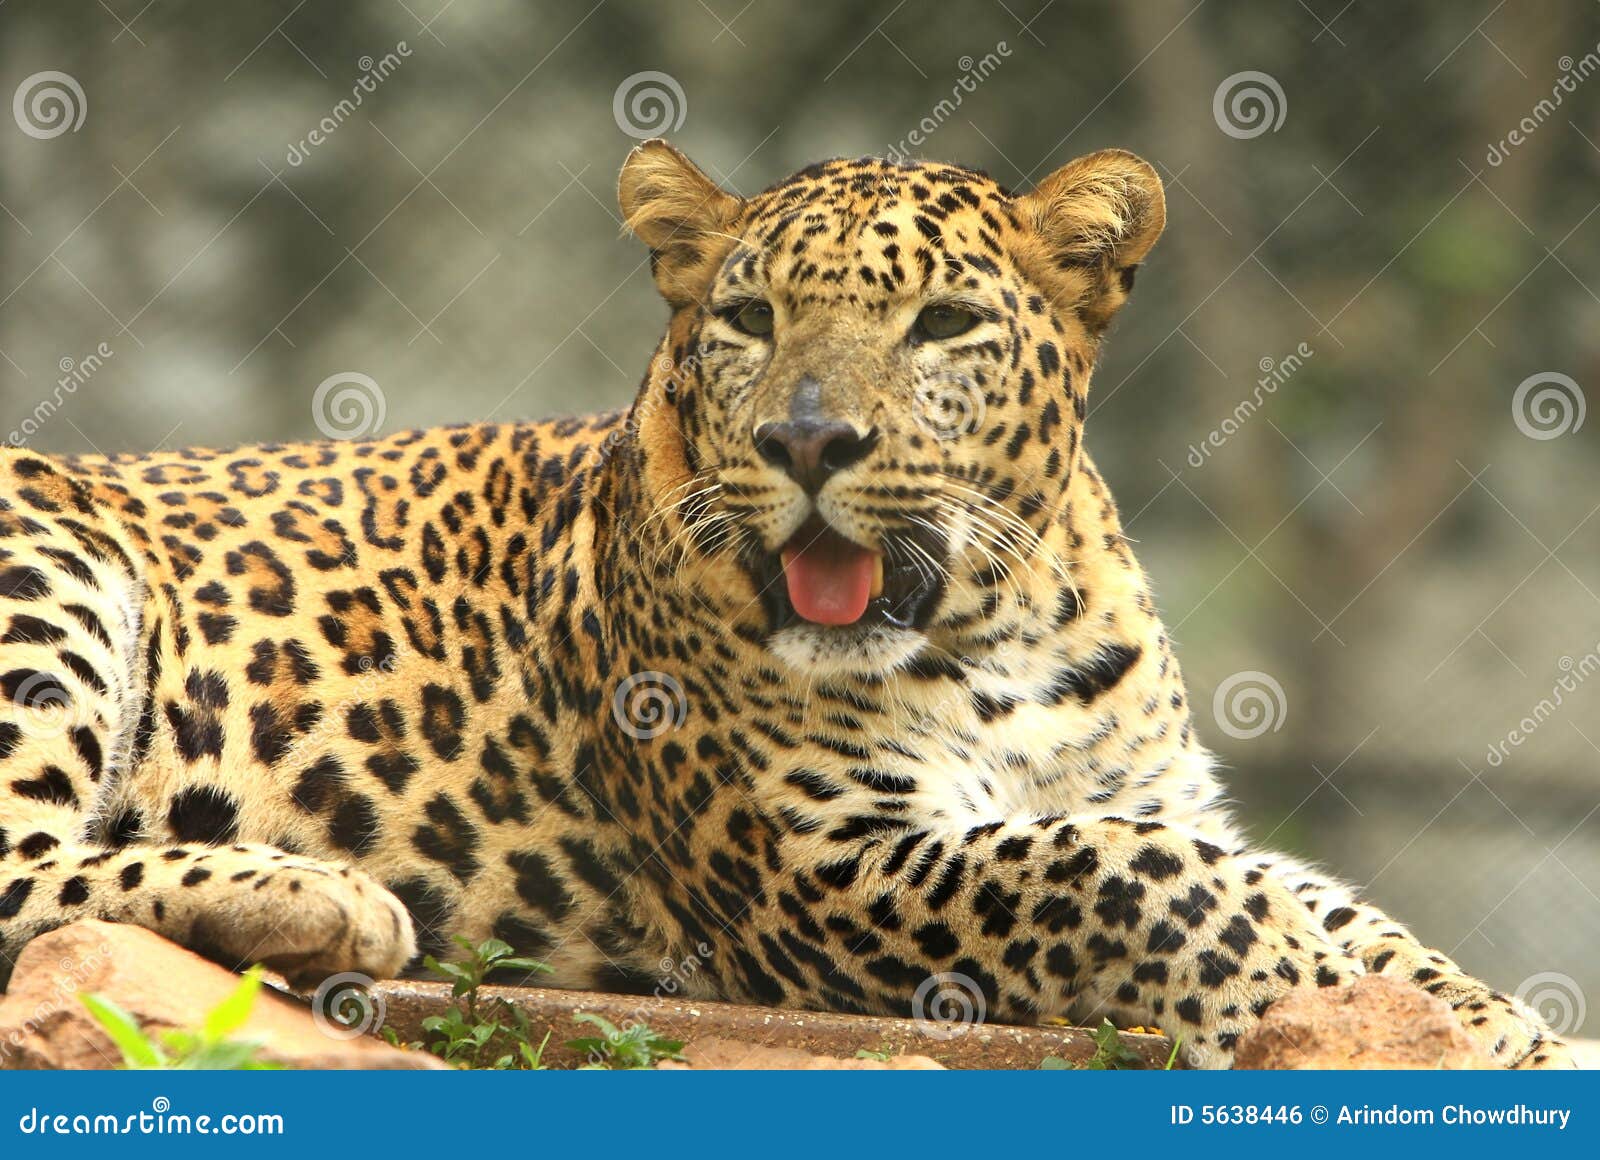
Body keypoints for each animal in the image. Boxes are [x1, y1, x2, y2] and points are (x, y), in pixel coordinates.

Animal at [0, 139, 1572, 1068]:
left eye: (943, 324)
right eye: (749, 321)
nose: (809, 442)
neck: (1001, 620)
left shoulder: (1154, 792)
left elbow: (1335, 902)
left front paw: (1490, 1026)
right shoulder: (818, 867)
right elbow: (1122, 875)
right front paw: (1310, 1000)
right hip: (51, 573)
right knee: (24, 873)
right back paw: (319, 900)